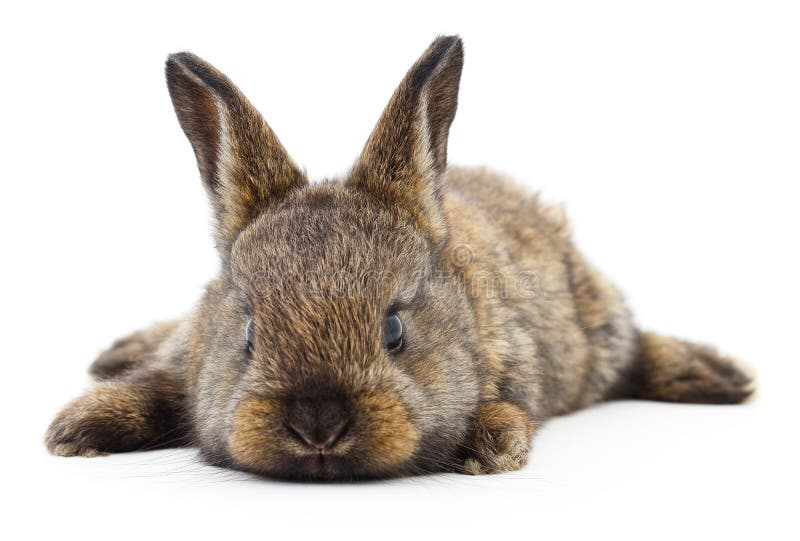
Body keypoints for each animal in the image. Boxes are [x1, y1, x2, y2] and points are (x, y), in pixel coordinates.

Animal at [45, 35, 755, 480]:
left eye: (394, 330)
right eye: (248, 333)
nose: (319, 427)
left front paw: (490, 448)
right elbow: (154, 384)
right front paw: (77, 430)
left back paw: (720, 376)